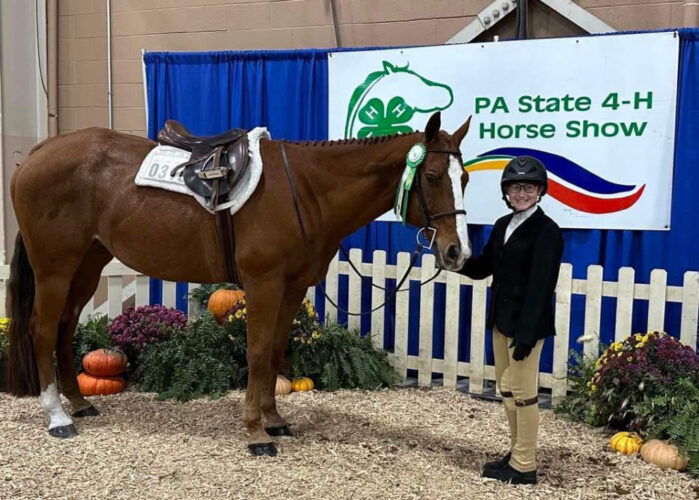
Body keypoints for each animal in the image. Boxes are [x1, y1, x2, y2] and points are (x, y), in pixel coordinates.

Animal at [6, 111, 471, 456]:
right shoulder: (264, 283)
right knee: (43, 329)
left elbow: (277, 351)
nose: (457, 252)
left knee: (65, 327)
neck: (306, 189)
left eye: (464, 177)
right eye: (432, 176)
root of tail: (38, 153)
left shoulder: (292, 286)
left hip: (87, 263)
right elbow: (259, 351)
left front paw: (274, 420)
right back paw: (58, 416)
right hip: (55, 268)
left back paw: (80, 403)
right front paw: (255, 433)